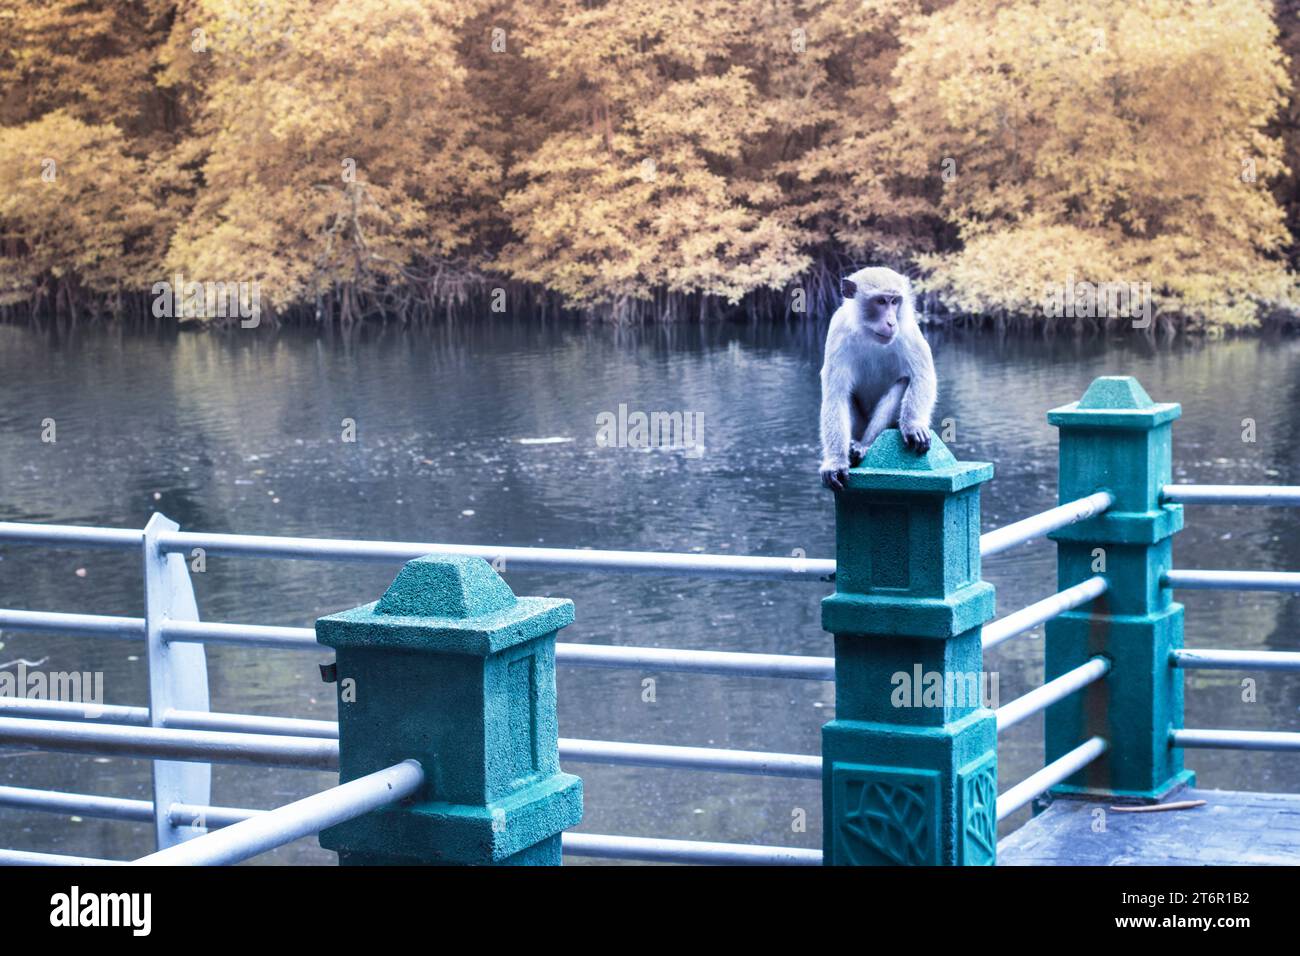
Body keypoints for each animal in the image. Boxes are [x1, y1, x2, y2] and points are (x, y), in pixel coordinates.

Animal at [819, 266, 937, 491]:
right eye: (880, 301)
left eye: (895, 301)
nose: (891, 322)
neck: (869, 334)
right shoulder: (837, 331)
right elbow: (836, 396)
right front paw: (836, 461)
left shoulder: (907, 328)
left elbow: (923, 375)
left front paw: (913, 425)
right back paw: (854, 448)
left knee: (903, 383)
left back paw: (864, 446)